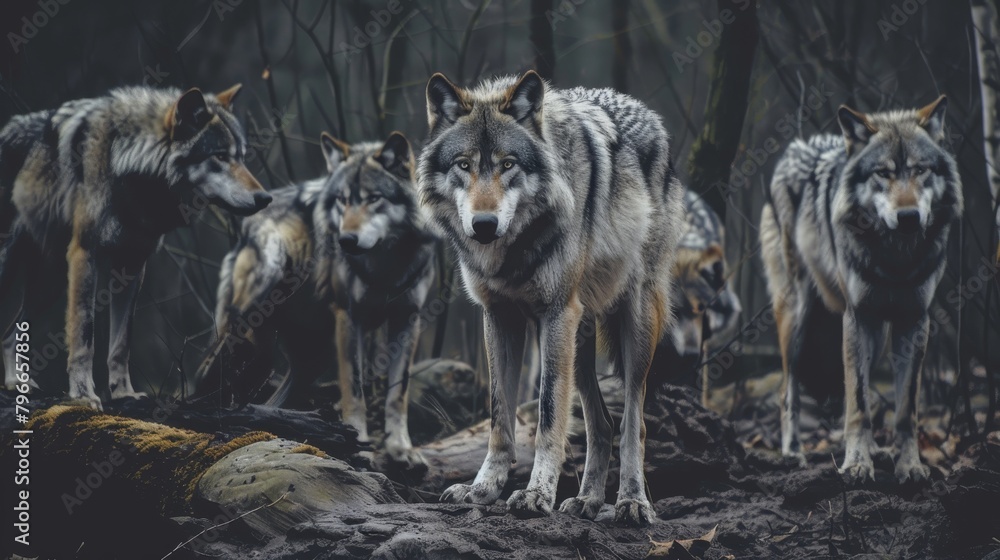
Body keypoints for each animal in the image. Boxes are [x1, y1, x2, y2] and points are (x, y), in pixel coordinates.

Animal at [0, 85, 271, 408]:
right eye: (220, 156)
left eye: (241, 157)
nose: (265, 198)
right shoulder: (86, 255)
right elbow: (84, 335)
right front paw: (83, 394)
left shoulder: (131, 265)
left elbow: (121, 344)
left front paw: (123, 393)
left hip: (48, 284)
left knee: (10, 332)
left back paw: (18, 383)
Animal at [200, 131, 435, 467]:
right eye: (342, 200)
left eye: (373, 198)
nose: (346, 240)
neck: (386, 265)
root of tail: (249, 223)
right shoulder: (350, 318)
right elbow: (355, 390)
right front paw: (360, 446)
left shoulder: (408, 319)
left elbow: (398, 394)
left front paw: (401, 450)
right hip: (253, 322)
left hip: (306, 358)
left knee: (270, 401)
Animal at [419, 70, 684, 525]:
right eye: (464, 165)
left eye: (508, 164)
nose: (484, 224)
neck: (513, 251)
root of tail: (651, 117)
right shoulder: (499, 316)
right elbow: (499, 417)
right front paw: (482, 489)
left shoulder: (557, 313)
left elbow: (546, 416)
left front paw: (536, 493)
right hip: (577, 340)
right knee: (602, 424)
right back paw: (587, 500)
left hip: (632, 323)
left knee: (633, 424)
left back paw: (632, 502)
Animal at [760, 96, 962, 482]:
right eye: (883, 173)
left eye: (920, 170)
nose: (909, 217)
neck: (896, 262)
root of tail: (795, 148)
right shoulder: (857, 318)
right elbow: (858, 403)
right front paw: (856, 463)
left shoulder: (914, 321)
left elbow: (905, 411)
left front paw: (909, 465)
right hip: (797, 318)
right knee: (787, 391)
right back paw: (793, 452)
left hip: (877, 335)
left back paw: (876, 451)